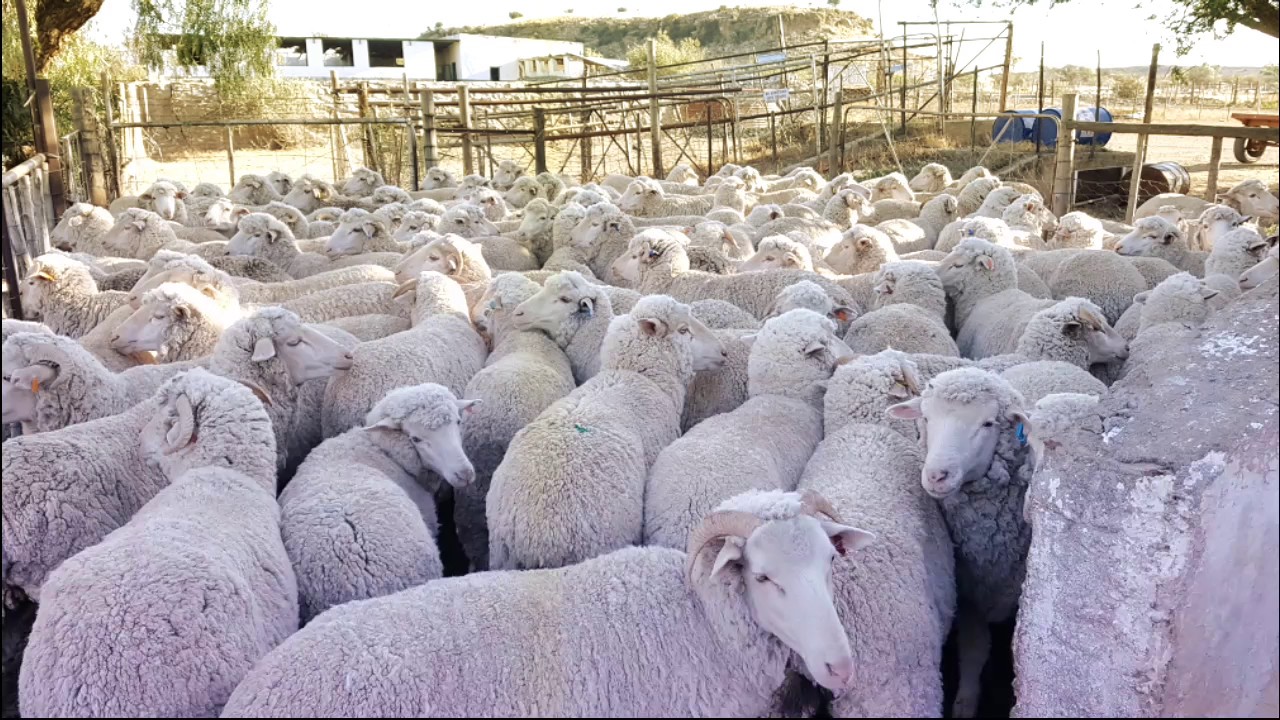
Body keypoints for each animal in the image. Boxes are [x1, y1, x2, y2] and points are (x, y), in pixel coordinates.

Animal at [886, 367, 1033, 718]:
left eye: (989, 423)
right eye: (925, 417)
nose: (937, 475)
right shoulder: (969, 595)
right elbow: (973, 651)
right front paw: (965, 703)